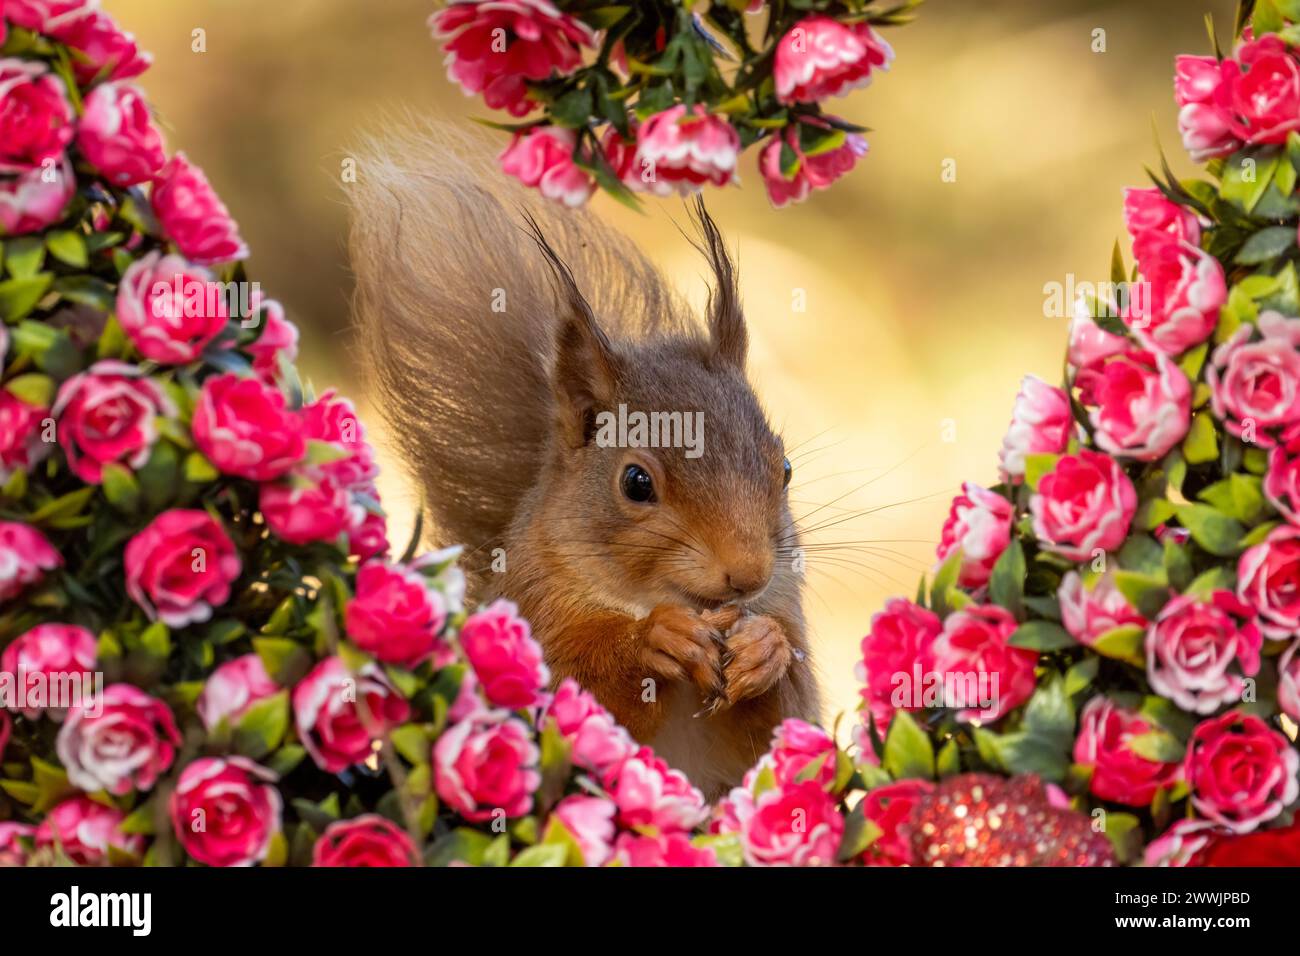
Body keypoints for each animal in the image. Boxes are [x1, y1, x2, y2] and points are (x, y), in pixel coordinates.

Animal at [348, 123, 820, 797]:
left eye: (783, 469)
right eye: (636, 482)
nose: (748, 573)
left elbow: (784, 719)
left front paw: (765, 649)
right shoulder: (534, 609)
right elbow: (576, 682)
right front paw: (656, 639)